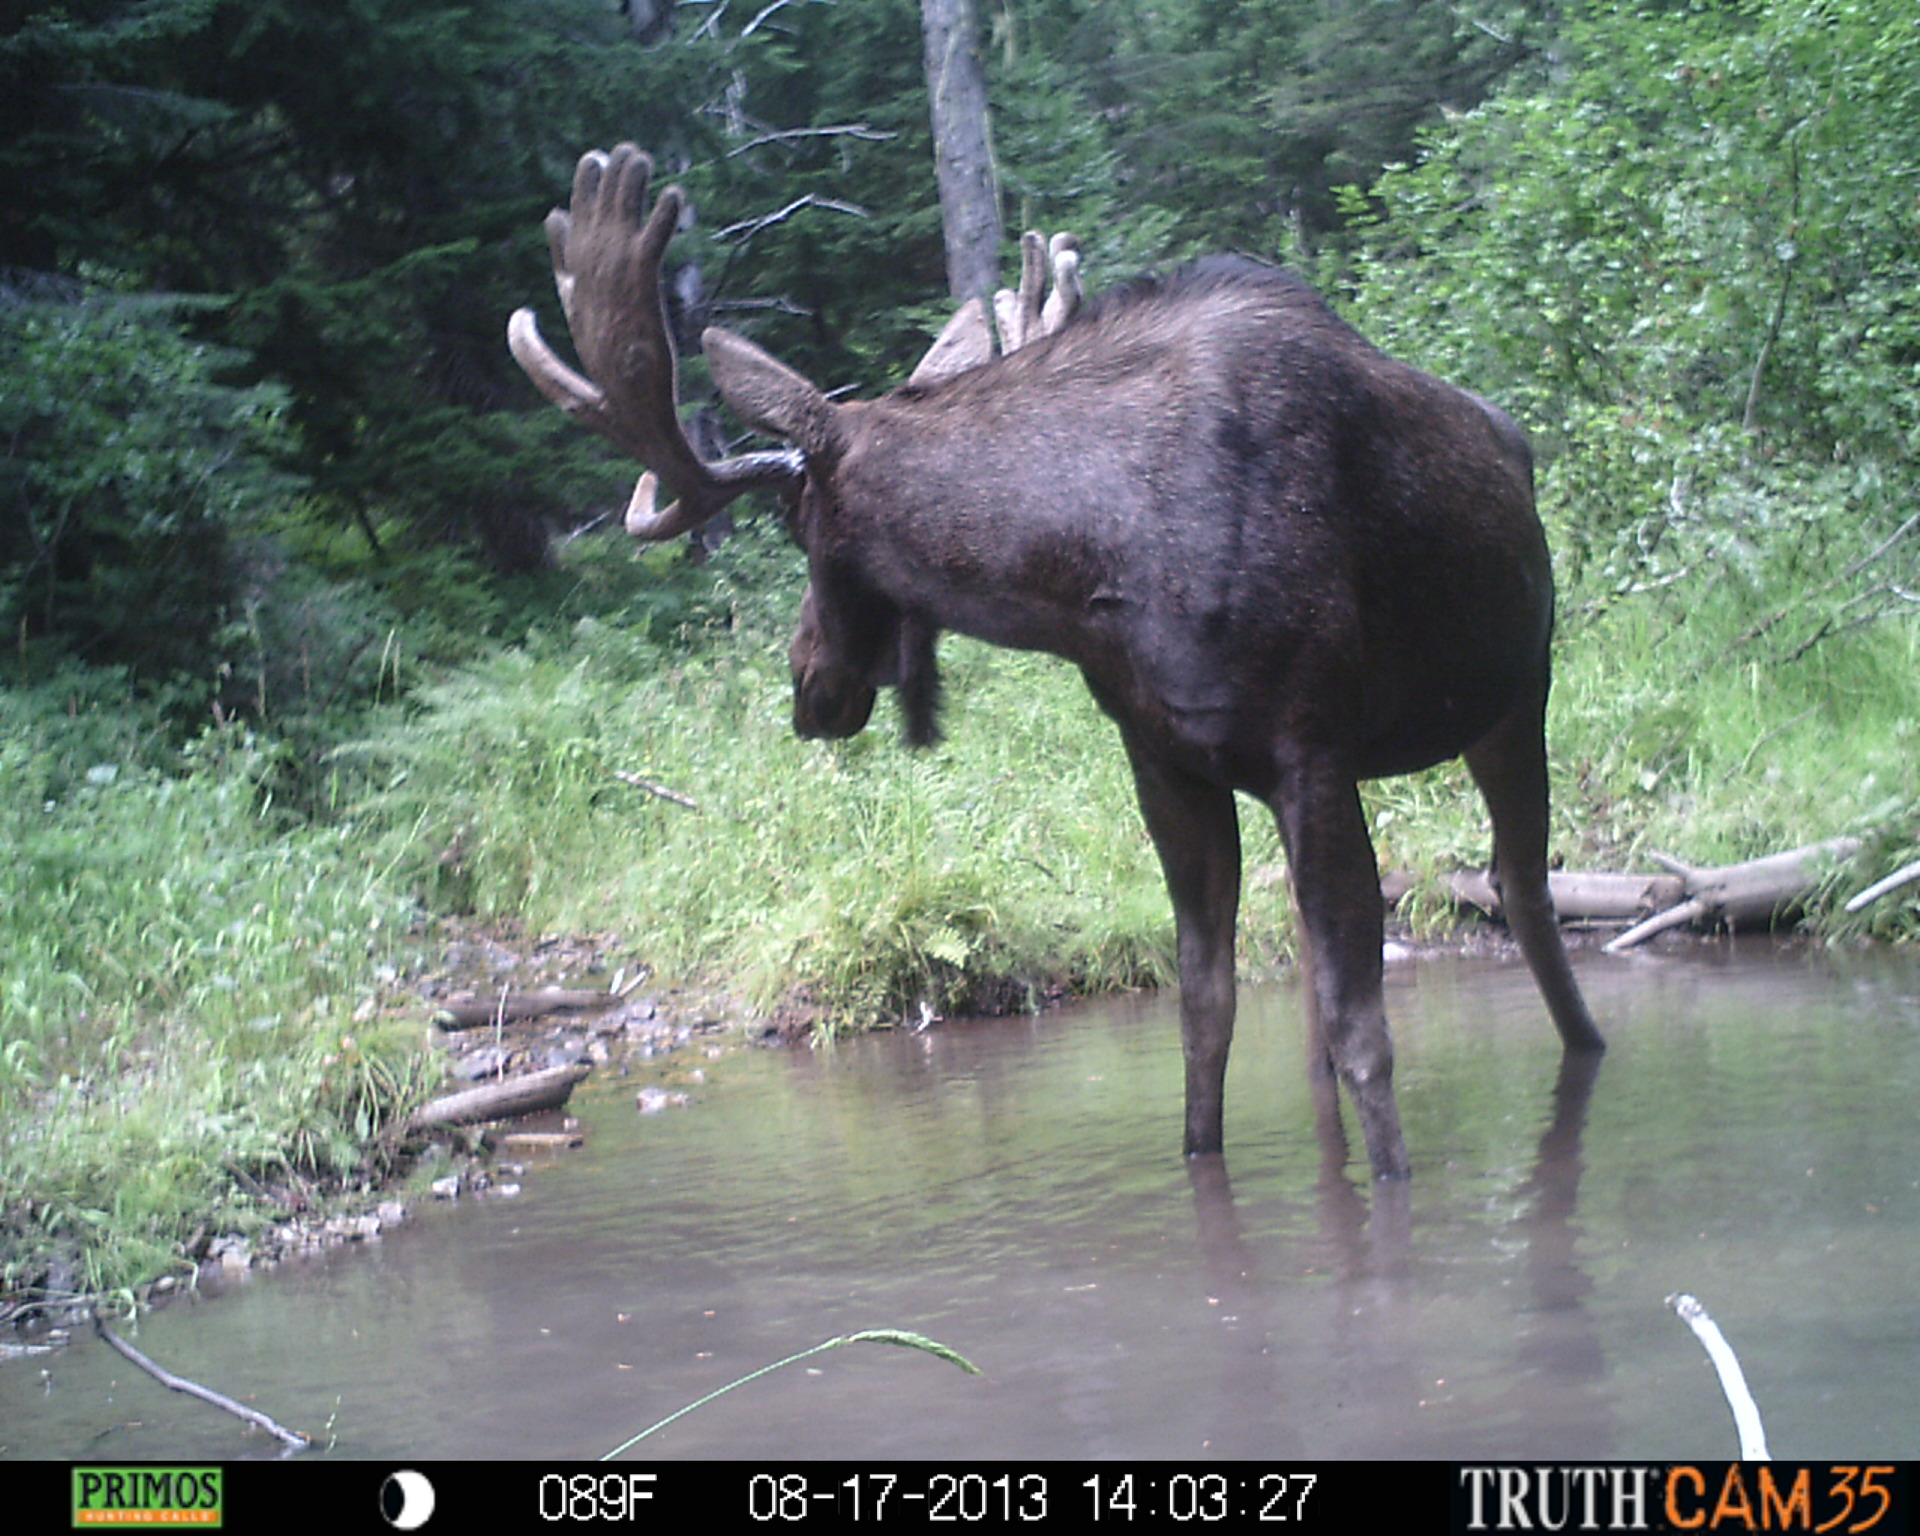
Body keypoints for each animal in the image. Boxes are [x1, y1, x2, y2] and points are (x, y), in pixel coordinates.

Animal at [509, 144, 1604, 1180]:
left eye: (798, 525)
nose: (806, 686)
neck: (1091, 575)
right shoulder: (1166, 761)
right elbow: (1205, 1014)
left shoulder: (1316, 746)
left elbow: (1366, 1033)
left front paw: (1393, 1186)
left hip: (1520, 689)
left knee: (1521, 885)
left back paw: (1585, 1046)